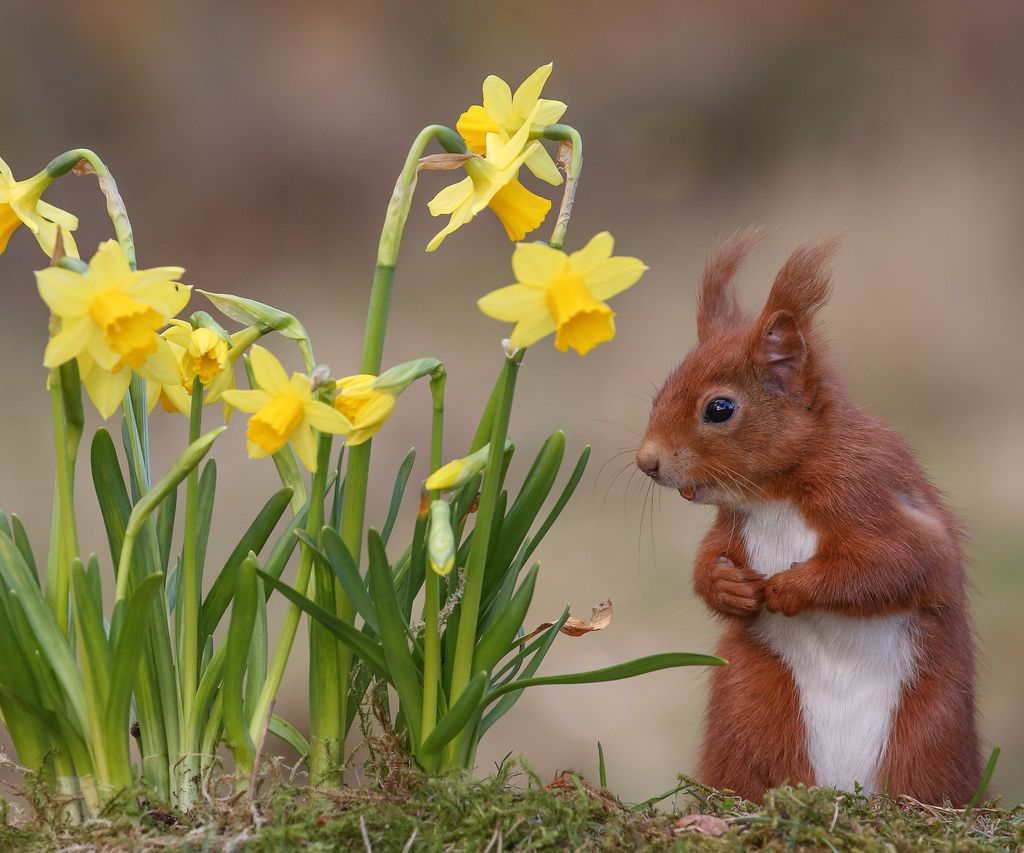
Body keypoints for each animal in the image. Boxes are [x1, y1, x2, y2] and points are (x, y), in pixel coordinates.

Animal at [636, 231, 982, 805]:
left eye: (719, 409)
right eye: (661, 391)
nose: (648, 462)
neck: (777, 493)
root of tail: (844, 788)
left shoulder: (871, 497)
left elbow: (899, 566)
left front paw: (791, 588)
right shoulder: (732, 525)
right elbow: (706, 562)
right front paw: (727, 585)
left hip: (929, 731)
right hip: (750, 705)